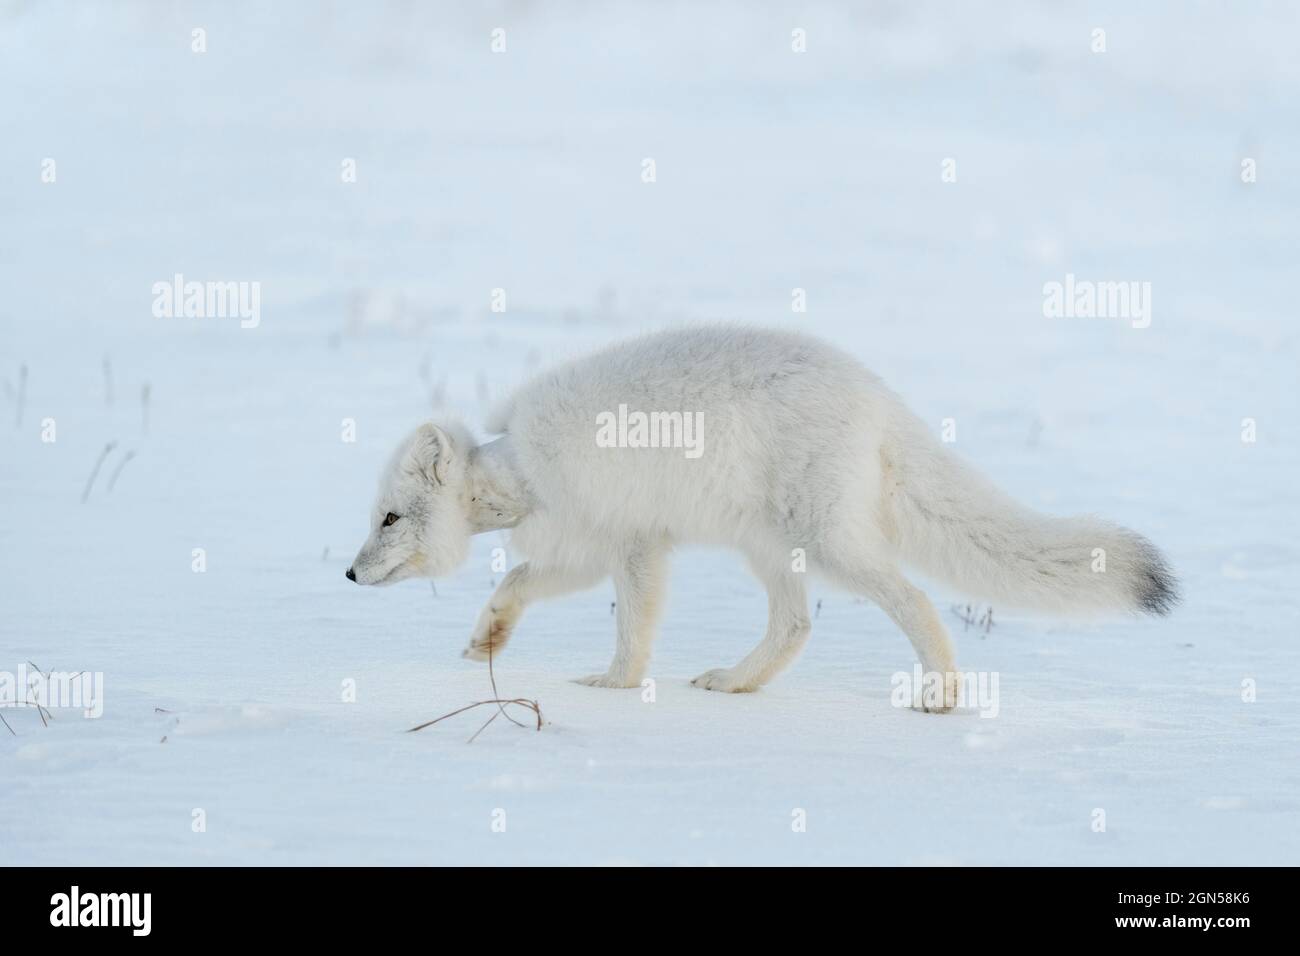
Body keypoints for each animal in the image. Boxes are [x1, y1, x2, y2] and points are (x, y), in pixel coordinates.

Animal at [346, 324, 1177, 710]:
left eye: (388, 518)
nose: (350, 572)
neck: (523, 468)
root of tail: (878, 398)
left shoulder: (631, 544)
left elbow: (630, 628)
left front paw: (614, 687)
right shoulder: (589, 546)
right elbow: (514, 580)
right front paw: (486, 641)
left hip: (825, 543)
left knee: (911, 599)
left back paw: (940, 695)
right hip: (769, 548)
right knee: (796, 625)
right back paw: (734, 685)